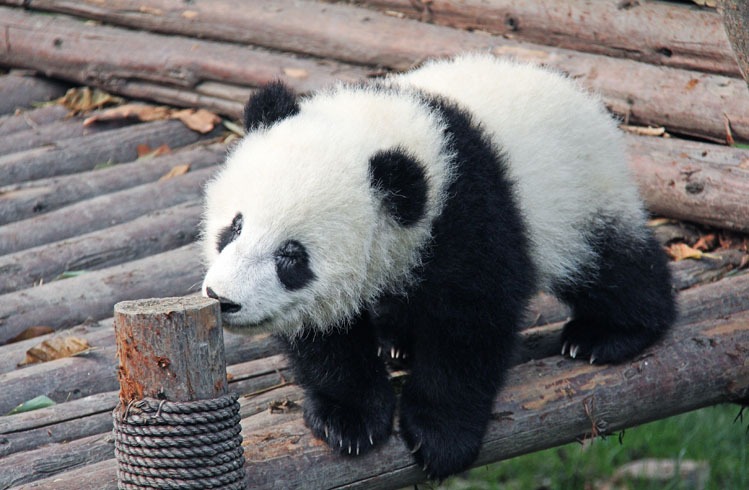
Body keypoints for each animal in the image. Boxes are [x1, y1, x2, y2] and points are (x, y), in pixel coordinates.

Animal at [201, 54, 676, 480]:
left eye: (291, 256)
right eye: (235, 226)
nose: (223, 299)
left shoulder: (468, 212)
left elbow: (470, 324)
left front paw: (440, 437)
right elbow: (327, 335)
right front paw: (349, 419)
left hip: (579, 193)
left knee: (609, 264)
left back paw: (606, 335)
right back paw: (399, 341)